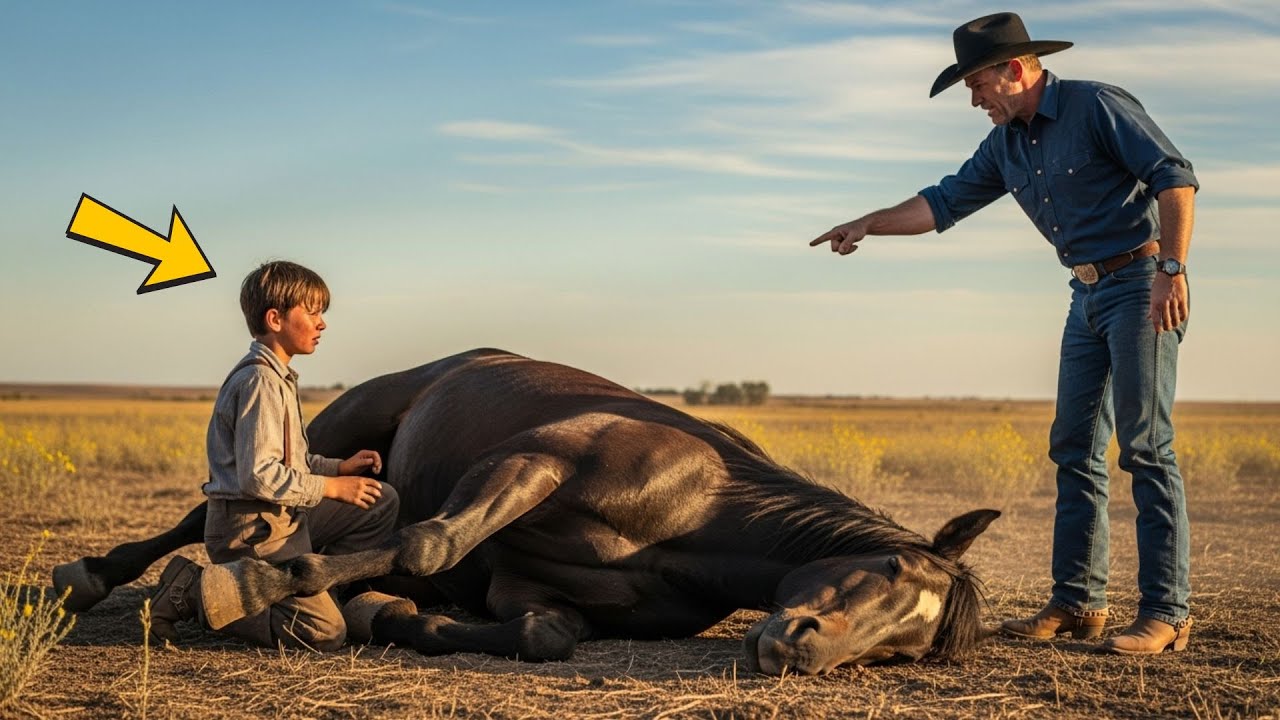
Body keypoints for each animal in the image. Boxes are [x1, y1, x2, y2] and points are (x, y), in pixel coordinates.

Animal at [53, 348, 999, 674]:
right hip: (336, 427)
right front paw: (245, 588)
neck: (701, 514)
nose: (796, 650)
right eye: (887, 567)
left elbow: (544, 634)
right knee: (208, 510)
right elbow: (432, 543)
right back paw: (110, 576)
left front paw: (387, 612)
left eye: (903, 649)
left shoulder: (524, 590)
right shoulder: (531, 464)